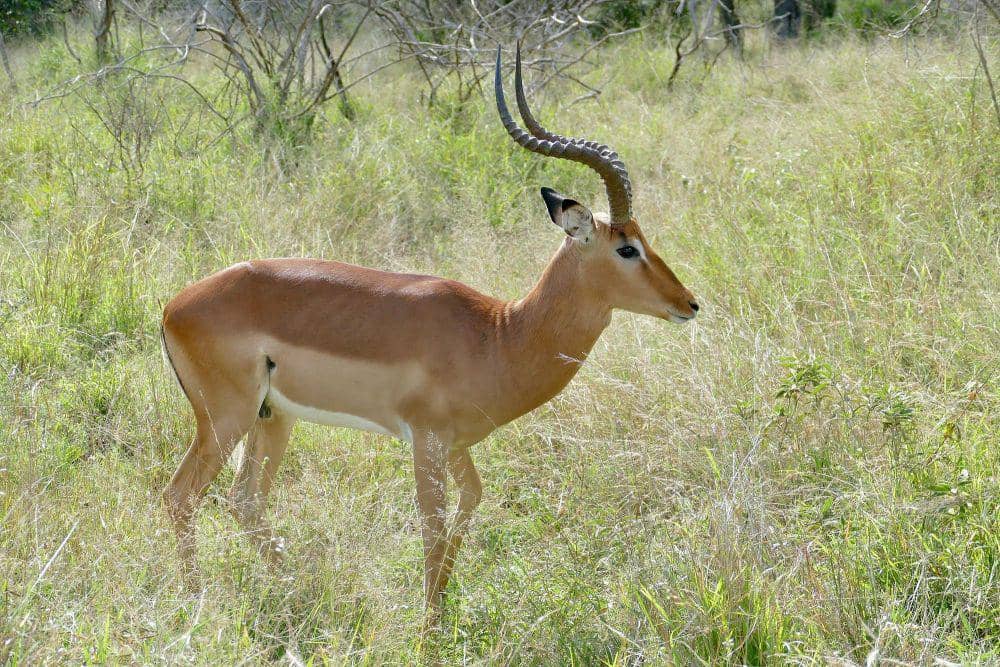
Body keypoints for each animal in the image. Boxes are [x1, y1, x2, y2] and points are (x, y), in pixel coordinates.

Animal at [160, 45, 698, 621]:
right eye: (626, 248)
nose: (689, 303)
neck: (499, 334)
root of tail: (172, 307)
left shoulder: (459, 445)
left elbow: (470, 503)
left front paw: (443, 610)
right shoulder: (427, 442)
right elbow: (432, 529)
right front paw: (430, 626)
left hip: (273, 417)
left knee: (245, 501)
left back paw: (295, 591)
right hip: (225, 418)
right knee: (181, 495)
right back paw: (196, 604)